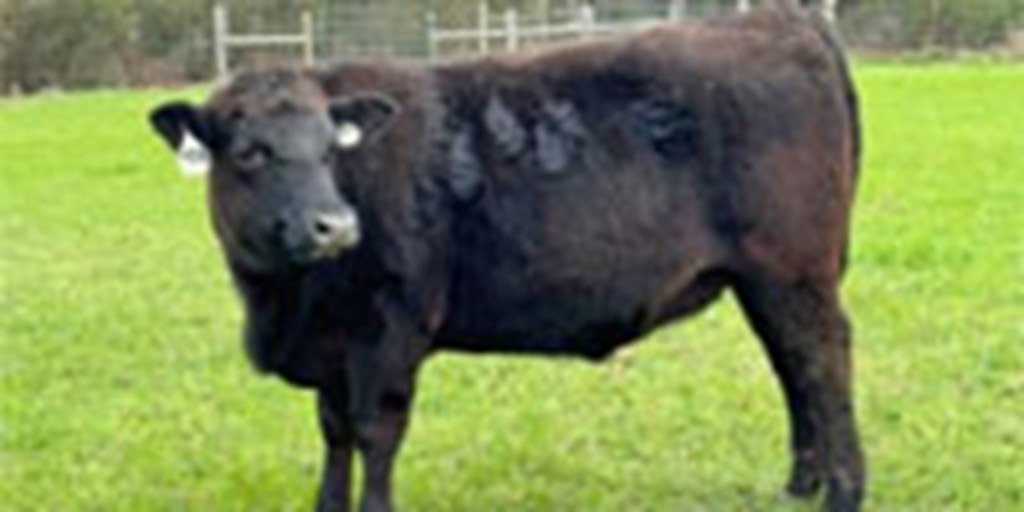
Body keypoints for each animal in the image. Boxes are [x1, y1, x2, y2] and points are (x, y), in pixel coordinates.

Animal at [149, 2, 865, 511]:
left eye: (330, 147)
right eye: (250, 152)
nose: (336, 226)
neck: (285, 303)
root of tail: (778, 19)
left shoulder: (390, 327)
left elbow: (375, 432)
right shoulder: (333, 342)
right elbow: (334, 432)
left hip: (792, 272)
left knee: (821, 362)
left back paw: (845, 492)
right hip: (763, 281)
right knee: (791, 366)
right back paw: (801, 487)